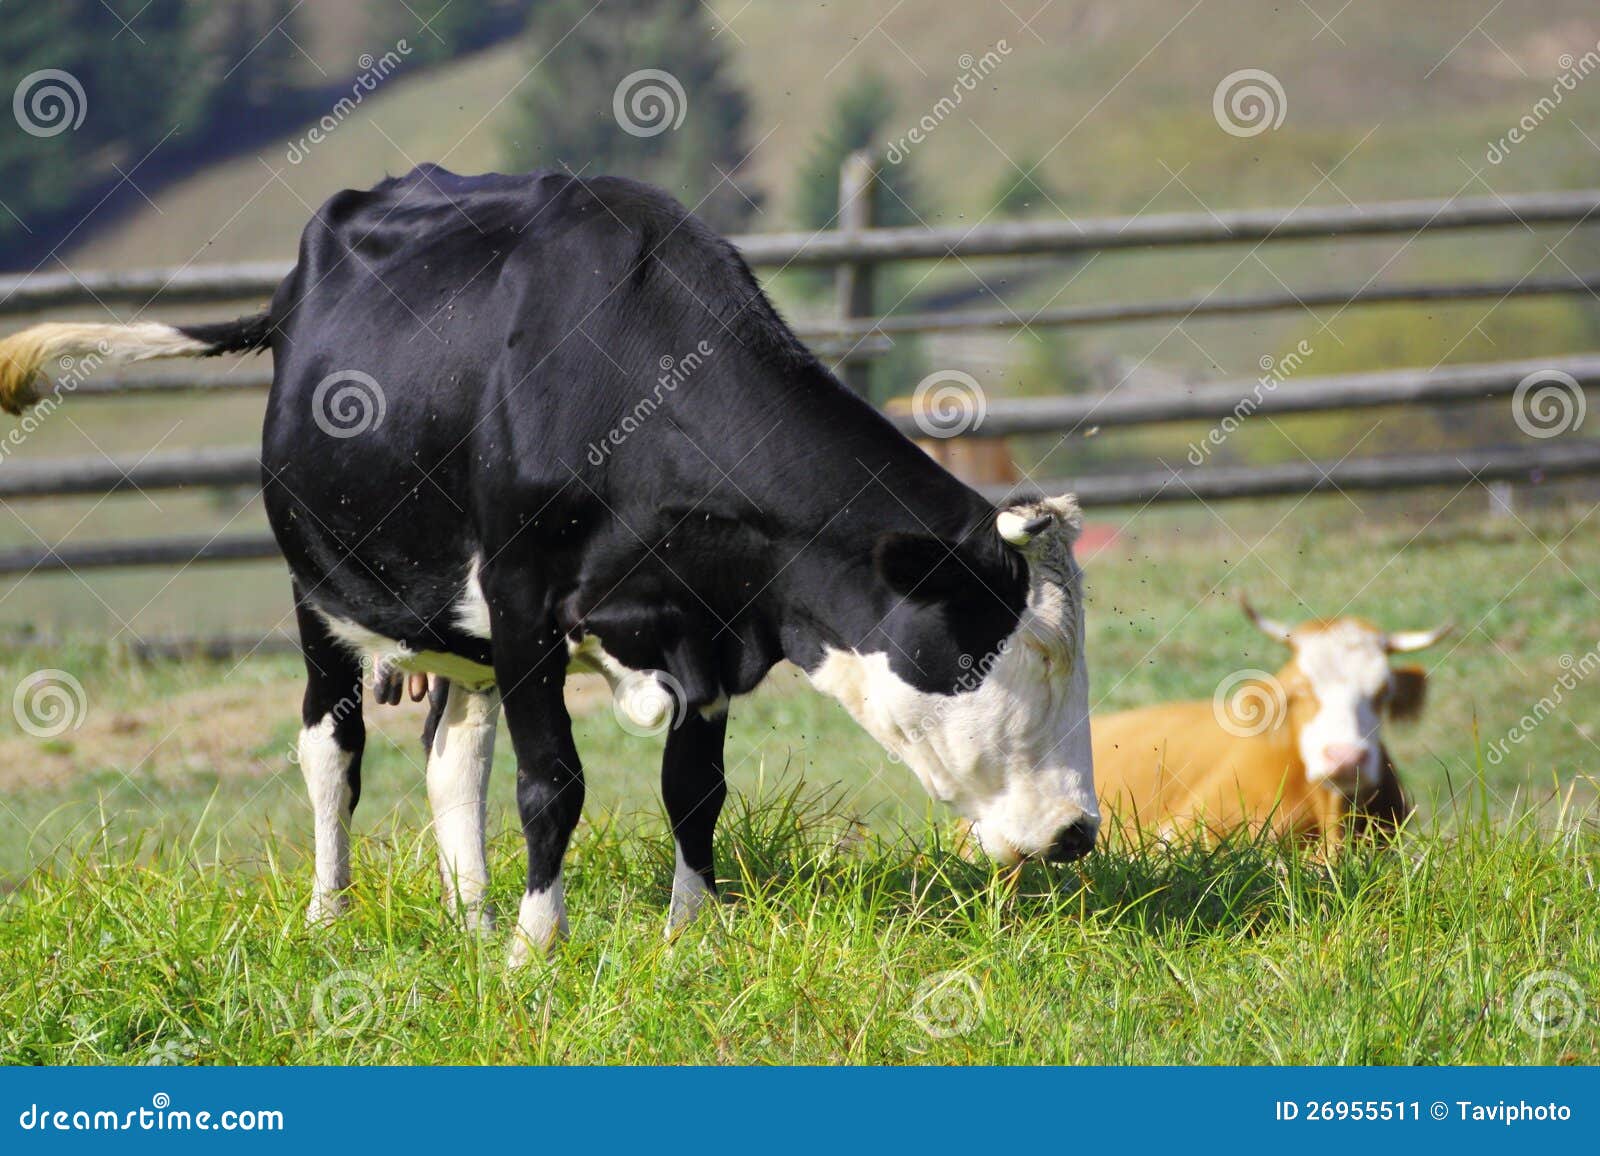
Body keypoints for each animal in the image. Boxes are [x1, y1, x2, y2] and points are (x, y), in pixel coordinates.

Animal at [0, 166, 1098, 964]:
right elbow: (552, 783)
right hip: (322, 593)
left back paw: (471, 917)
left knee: (452, 756)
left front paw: (686, 935)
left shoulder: (707, 619)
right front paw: (539, 947)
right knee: (330, 752)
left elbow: (694, 786)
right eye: (996, 647)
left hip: (462, 636)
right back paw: (332, 913)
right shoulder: (524, 599)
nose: (1078, 832)